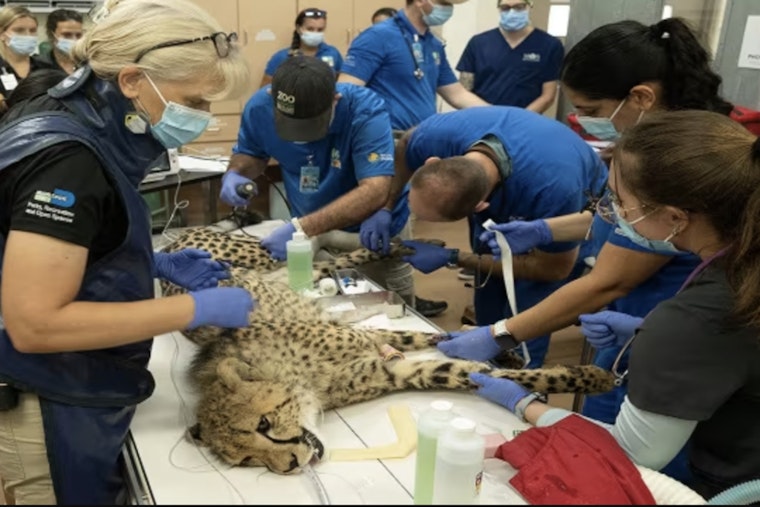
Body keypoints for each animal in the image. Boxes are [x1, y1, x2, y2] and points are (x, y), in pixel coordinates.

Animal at [159, 226, 617, 475]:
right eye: (247, 461)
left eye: (264, 424)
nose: (289, 465)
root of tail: (170, 243)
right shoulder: (390, 371)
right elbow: (455, 368)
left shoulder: (360, 338)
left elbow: (439, 342)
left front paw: (591, 376)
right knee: (330, 262)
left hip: (258, 257)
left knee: (331, 251)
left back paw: (406, 244)